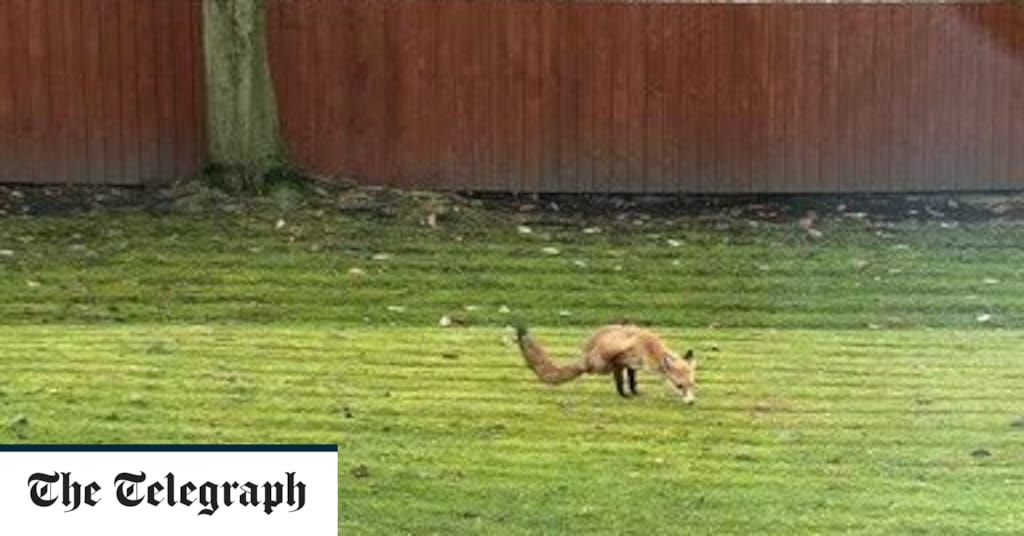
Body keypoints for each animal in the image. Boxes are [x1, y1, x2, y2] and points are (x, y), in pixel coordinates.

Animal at [515, 324, 698, 404]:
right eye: (679, 386)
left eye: (692, 385)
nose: (691, 402)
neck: (648, 348)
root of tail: (585, 356)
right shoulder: (621, 361)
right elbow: (620, 382)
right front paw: (624, 395)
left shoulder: (632, 366)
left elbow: (632, 381)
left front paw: (634, 392)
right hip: (600, 364)